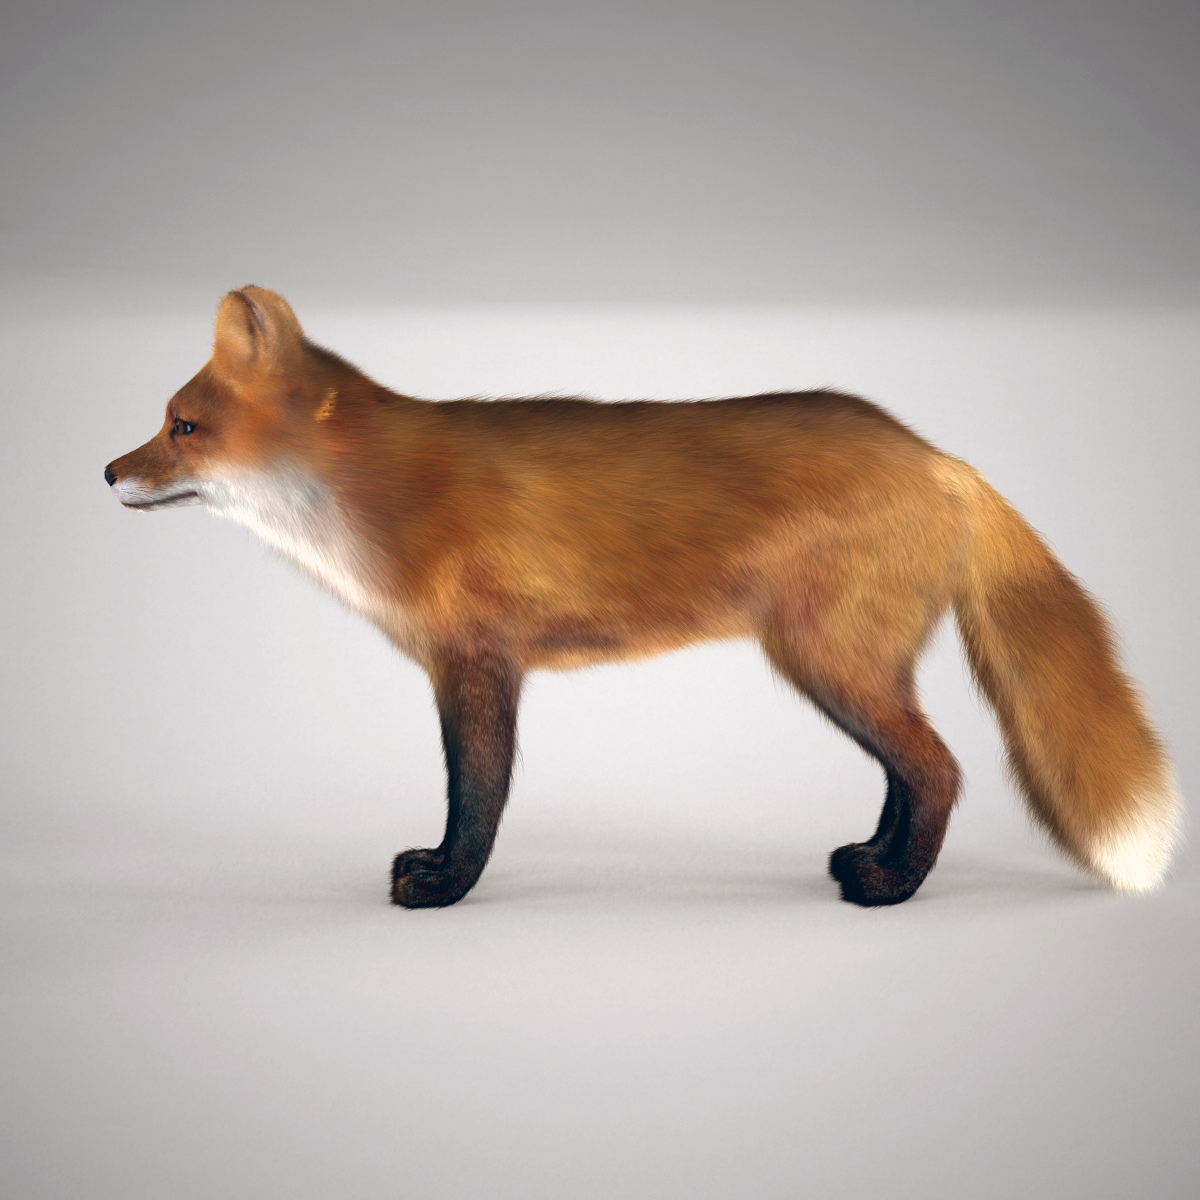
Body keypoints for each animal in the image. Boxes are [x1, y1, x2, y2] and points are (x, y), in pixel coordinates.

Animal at [105, 286, 1181, 908]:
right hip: (851, 669)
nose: (107, 471)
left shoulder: (476, 662)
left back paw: (890, 886)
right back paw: (868, 858)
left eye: (183, 427)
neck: (376, 497)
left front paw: (447, 884)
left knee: (943, 769)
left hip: (831, 664)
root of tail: (937, 456)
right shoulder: (474, 664)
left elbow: (476, 794)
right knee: (913, 774)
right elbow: (477, 791)